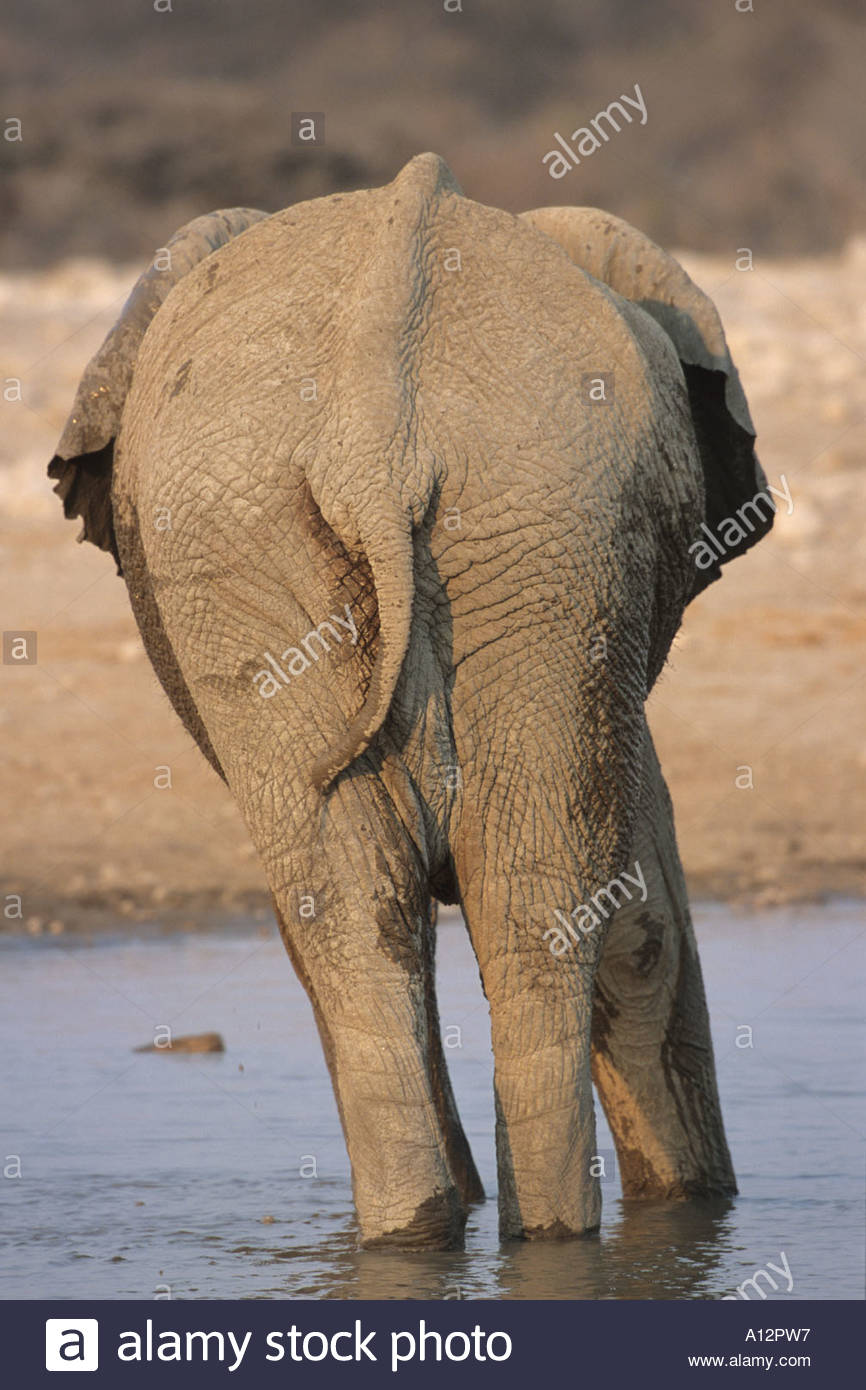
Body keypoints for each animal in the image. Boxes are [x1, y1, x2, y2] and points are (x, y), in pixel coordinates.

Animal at [49, 152, 770, 1250]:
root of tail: (374, 432)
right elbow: (644, 912)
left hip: (507, 534)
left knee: (413, 903)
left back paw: (463, 1240)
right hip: (475, 537)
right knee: (466, 902)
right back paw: (496, 1235)